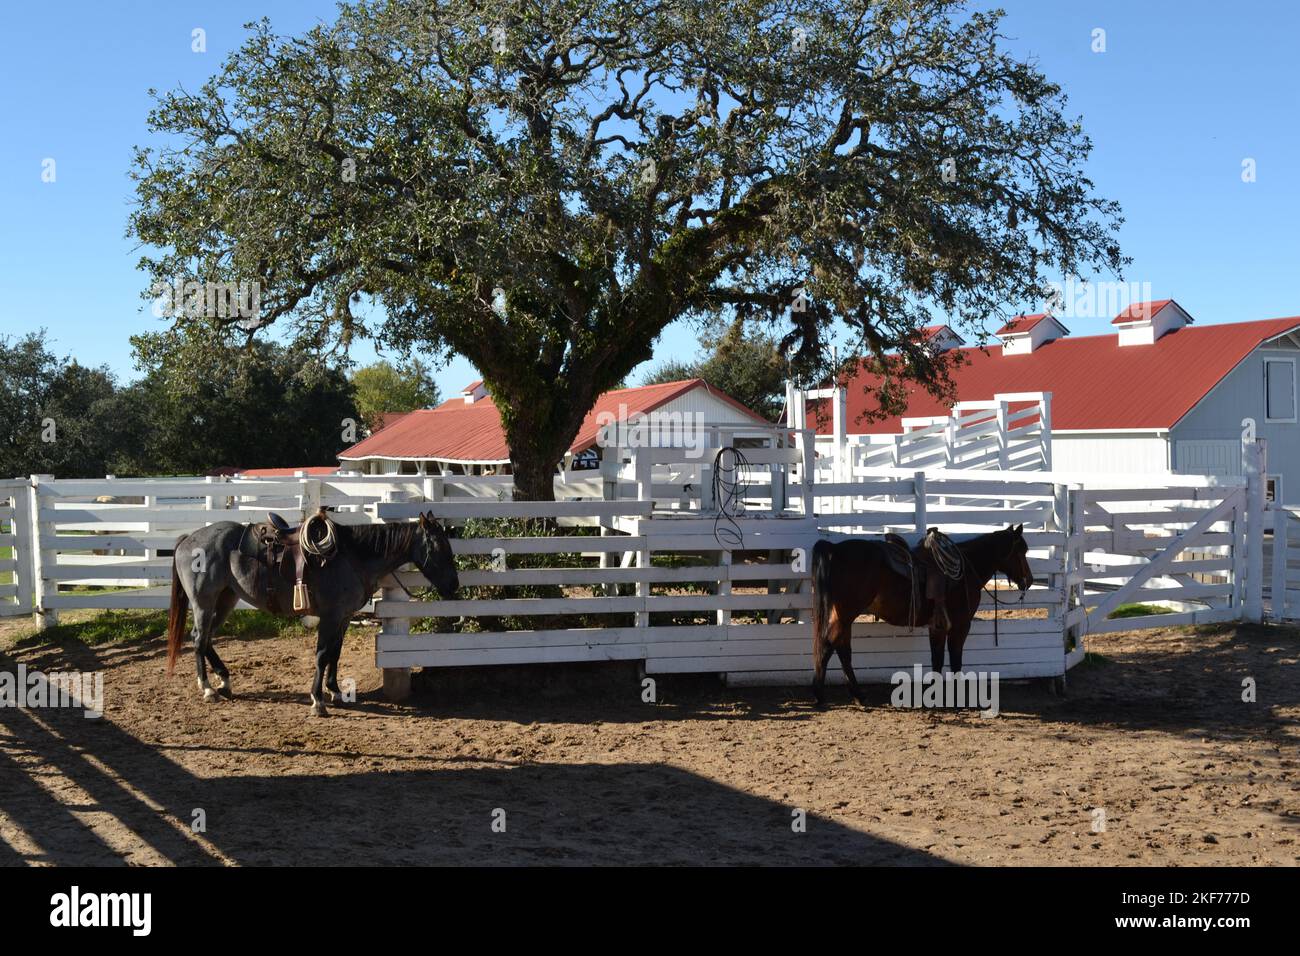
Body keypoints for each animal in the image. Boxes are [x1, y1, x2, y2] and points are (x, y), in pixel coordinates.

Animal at [166, 511, 458, 716]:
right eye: (440, 548)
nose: (454, 586)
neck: (352, 557)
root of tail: (188, 540)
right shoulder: (330, 616)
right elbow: (321, 655)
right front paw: (318, 700)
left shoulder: (343, 617)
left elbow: (335, 654)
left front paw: (335, 691)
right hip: (203, 602)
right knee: (199, 638)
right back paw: (207, 688)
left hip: (226, 598)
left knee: (208, 638)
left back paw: (224, 681)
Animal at [809, 524, 1034, 707]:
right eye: (1022, 550)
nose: (1029, 580)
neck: (968, 568)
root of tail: (835, 549)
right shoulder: (960, 625)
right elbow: (954, 659)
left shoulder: (938, 626)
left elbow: (937, 659)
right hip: (847, 613)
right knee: (831, 644)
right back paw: (825, 693)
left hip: (842, 615)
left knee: (839, 648)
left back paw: (850, 694)